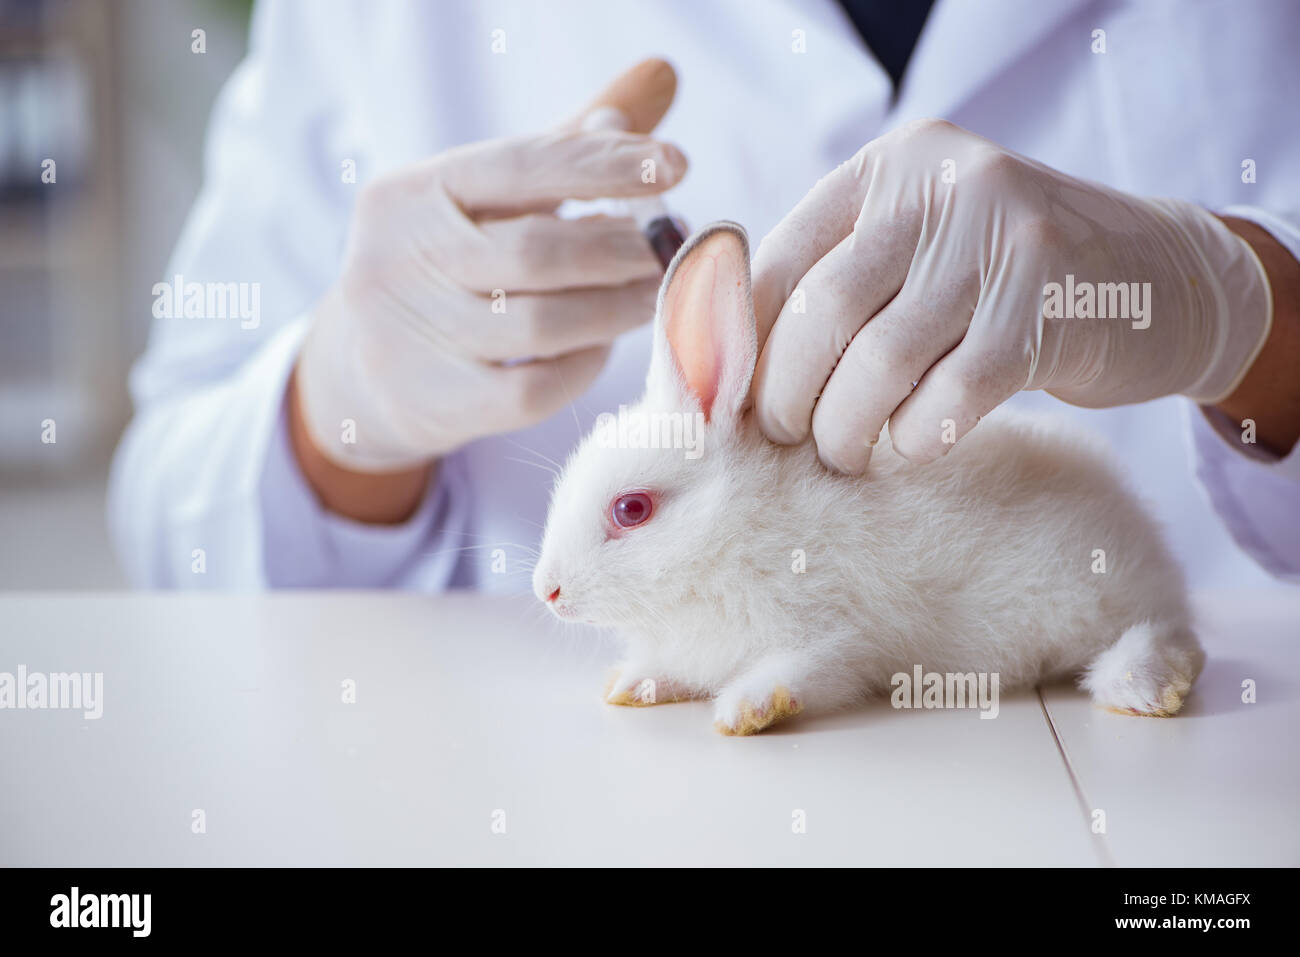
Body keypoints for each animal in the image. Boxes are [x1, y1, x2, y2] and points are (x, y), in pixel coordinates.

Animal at [532, 221, 1204, 735]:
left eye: (632, 510)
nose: (547, 592)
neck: (726, 533)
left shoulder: (834, 637)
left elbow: (812, 672)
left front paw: (747, 710)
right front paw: (631, 683)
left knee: (1169, 636)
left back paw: (1146, 689)